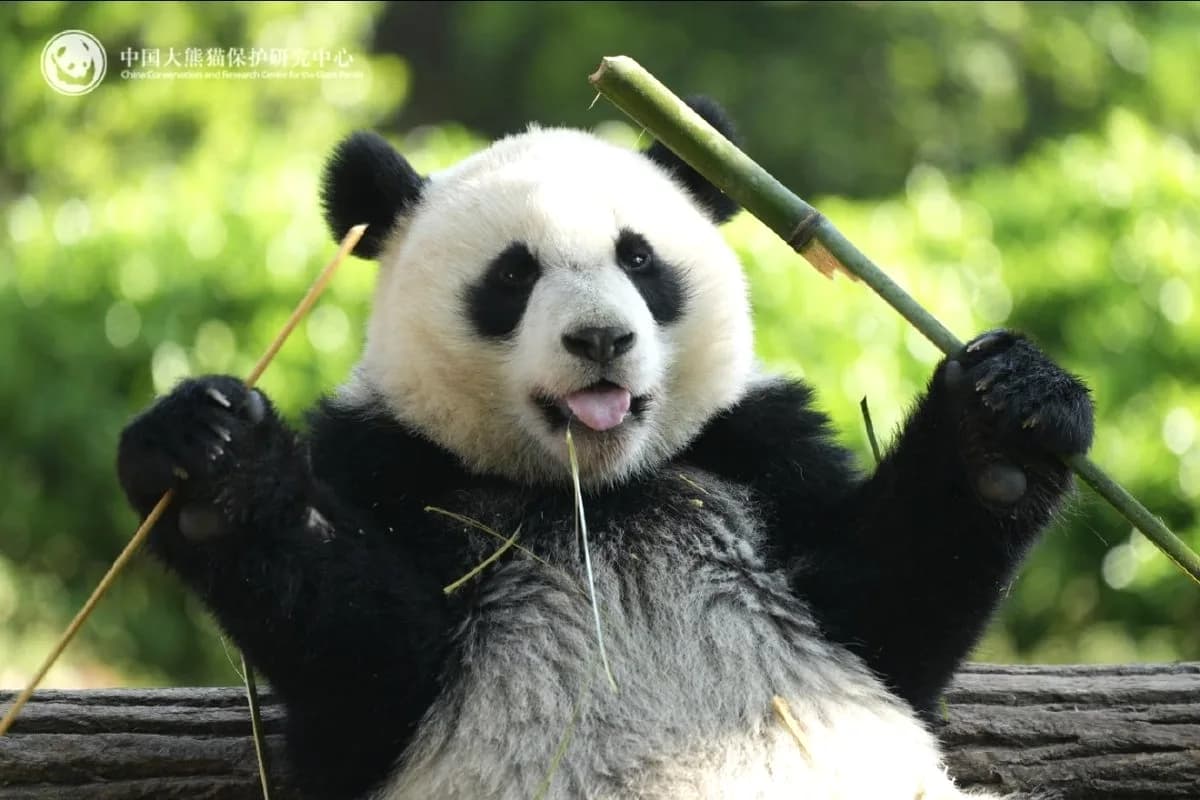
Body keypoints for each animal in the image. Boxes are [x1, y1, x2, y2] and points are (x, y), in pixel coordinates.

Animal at [116, 98, 1094, 800]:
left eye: (640, 260)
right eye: (514, 274)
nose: (600, 340)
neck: (597, 492)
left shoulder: (756, 457)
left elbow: (892, 607)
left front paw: (1007, 420)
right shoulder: (397, 471)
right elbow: (360, 657)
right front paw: (210, 461)